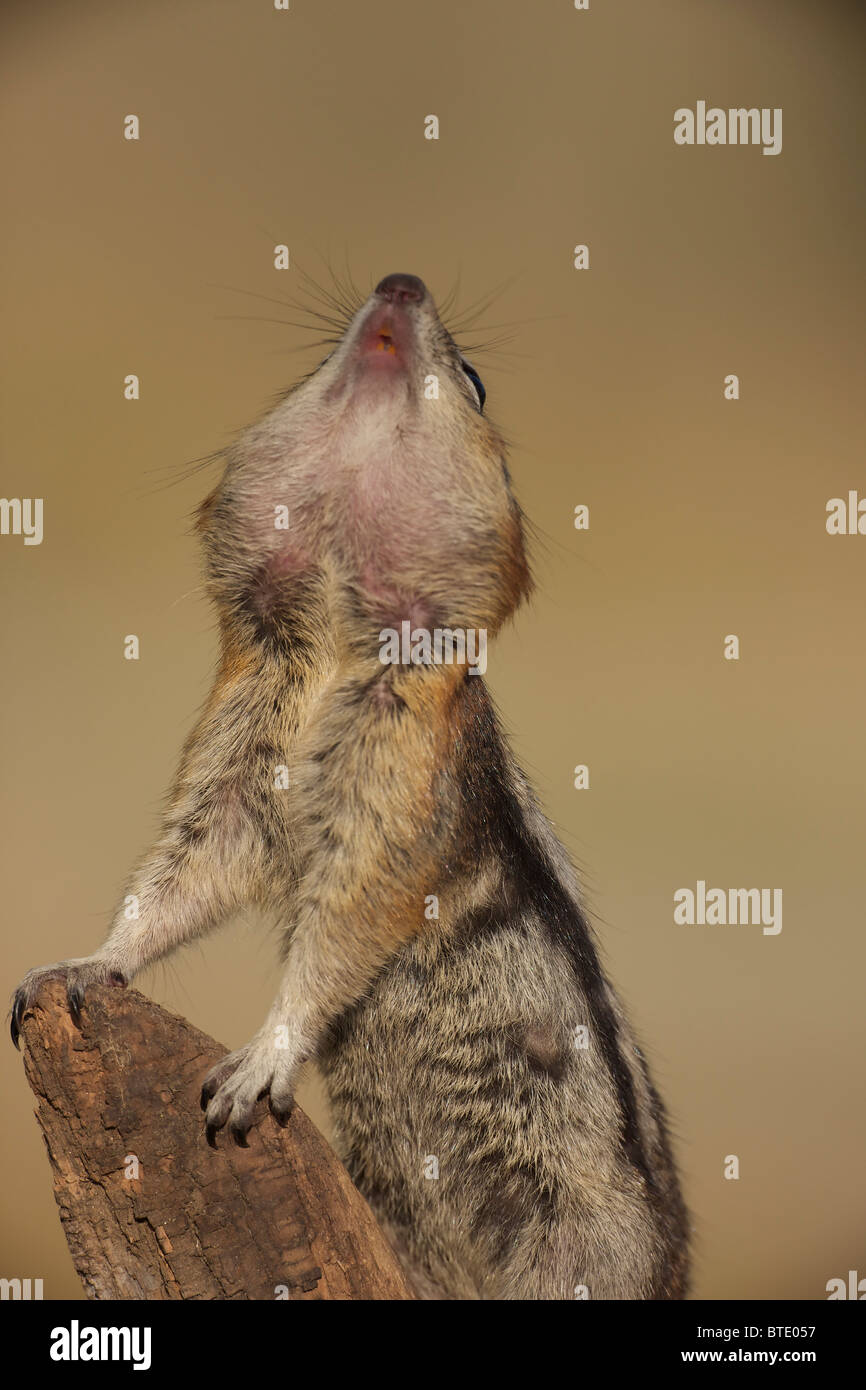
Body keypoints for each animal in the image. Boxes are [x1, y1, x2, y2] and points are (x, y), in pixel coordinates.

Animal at [11, 273, 690, 1300]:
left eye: (475, 381)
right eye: (310, 364)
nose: (401, 283)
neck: (336, 628)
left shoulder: (399, 780)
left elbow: (345, 917)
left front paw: (260, 1059)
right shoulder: (241, 747)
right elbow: (190, 865)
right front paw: (86, 962)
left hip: (581, 1246)